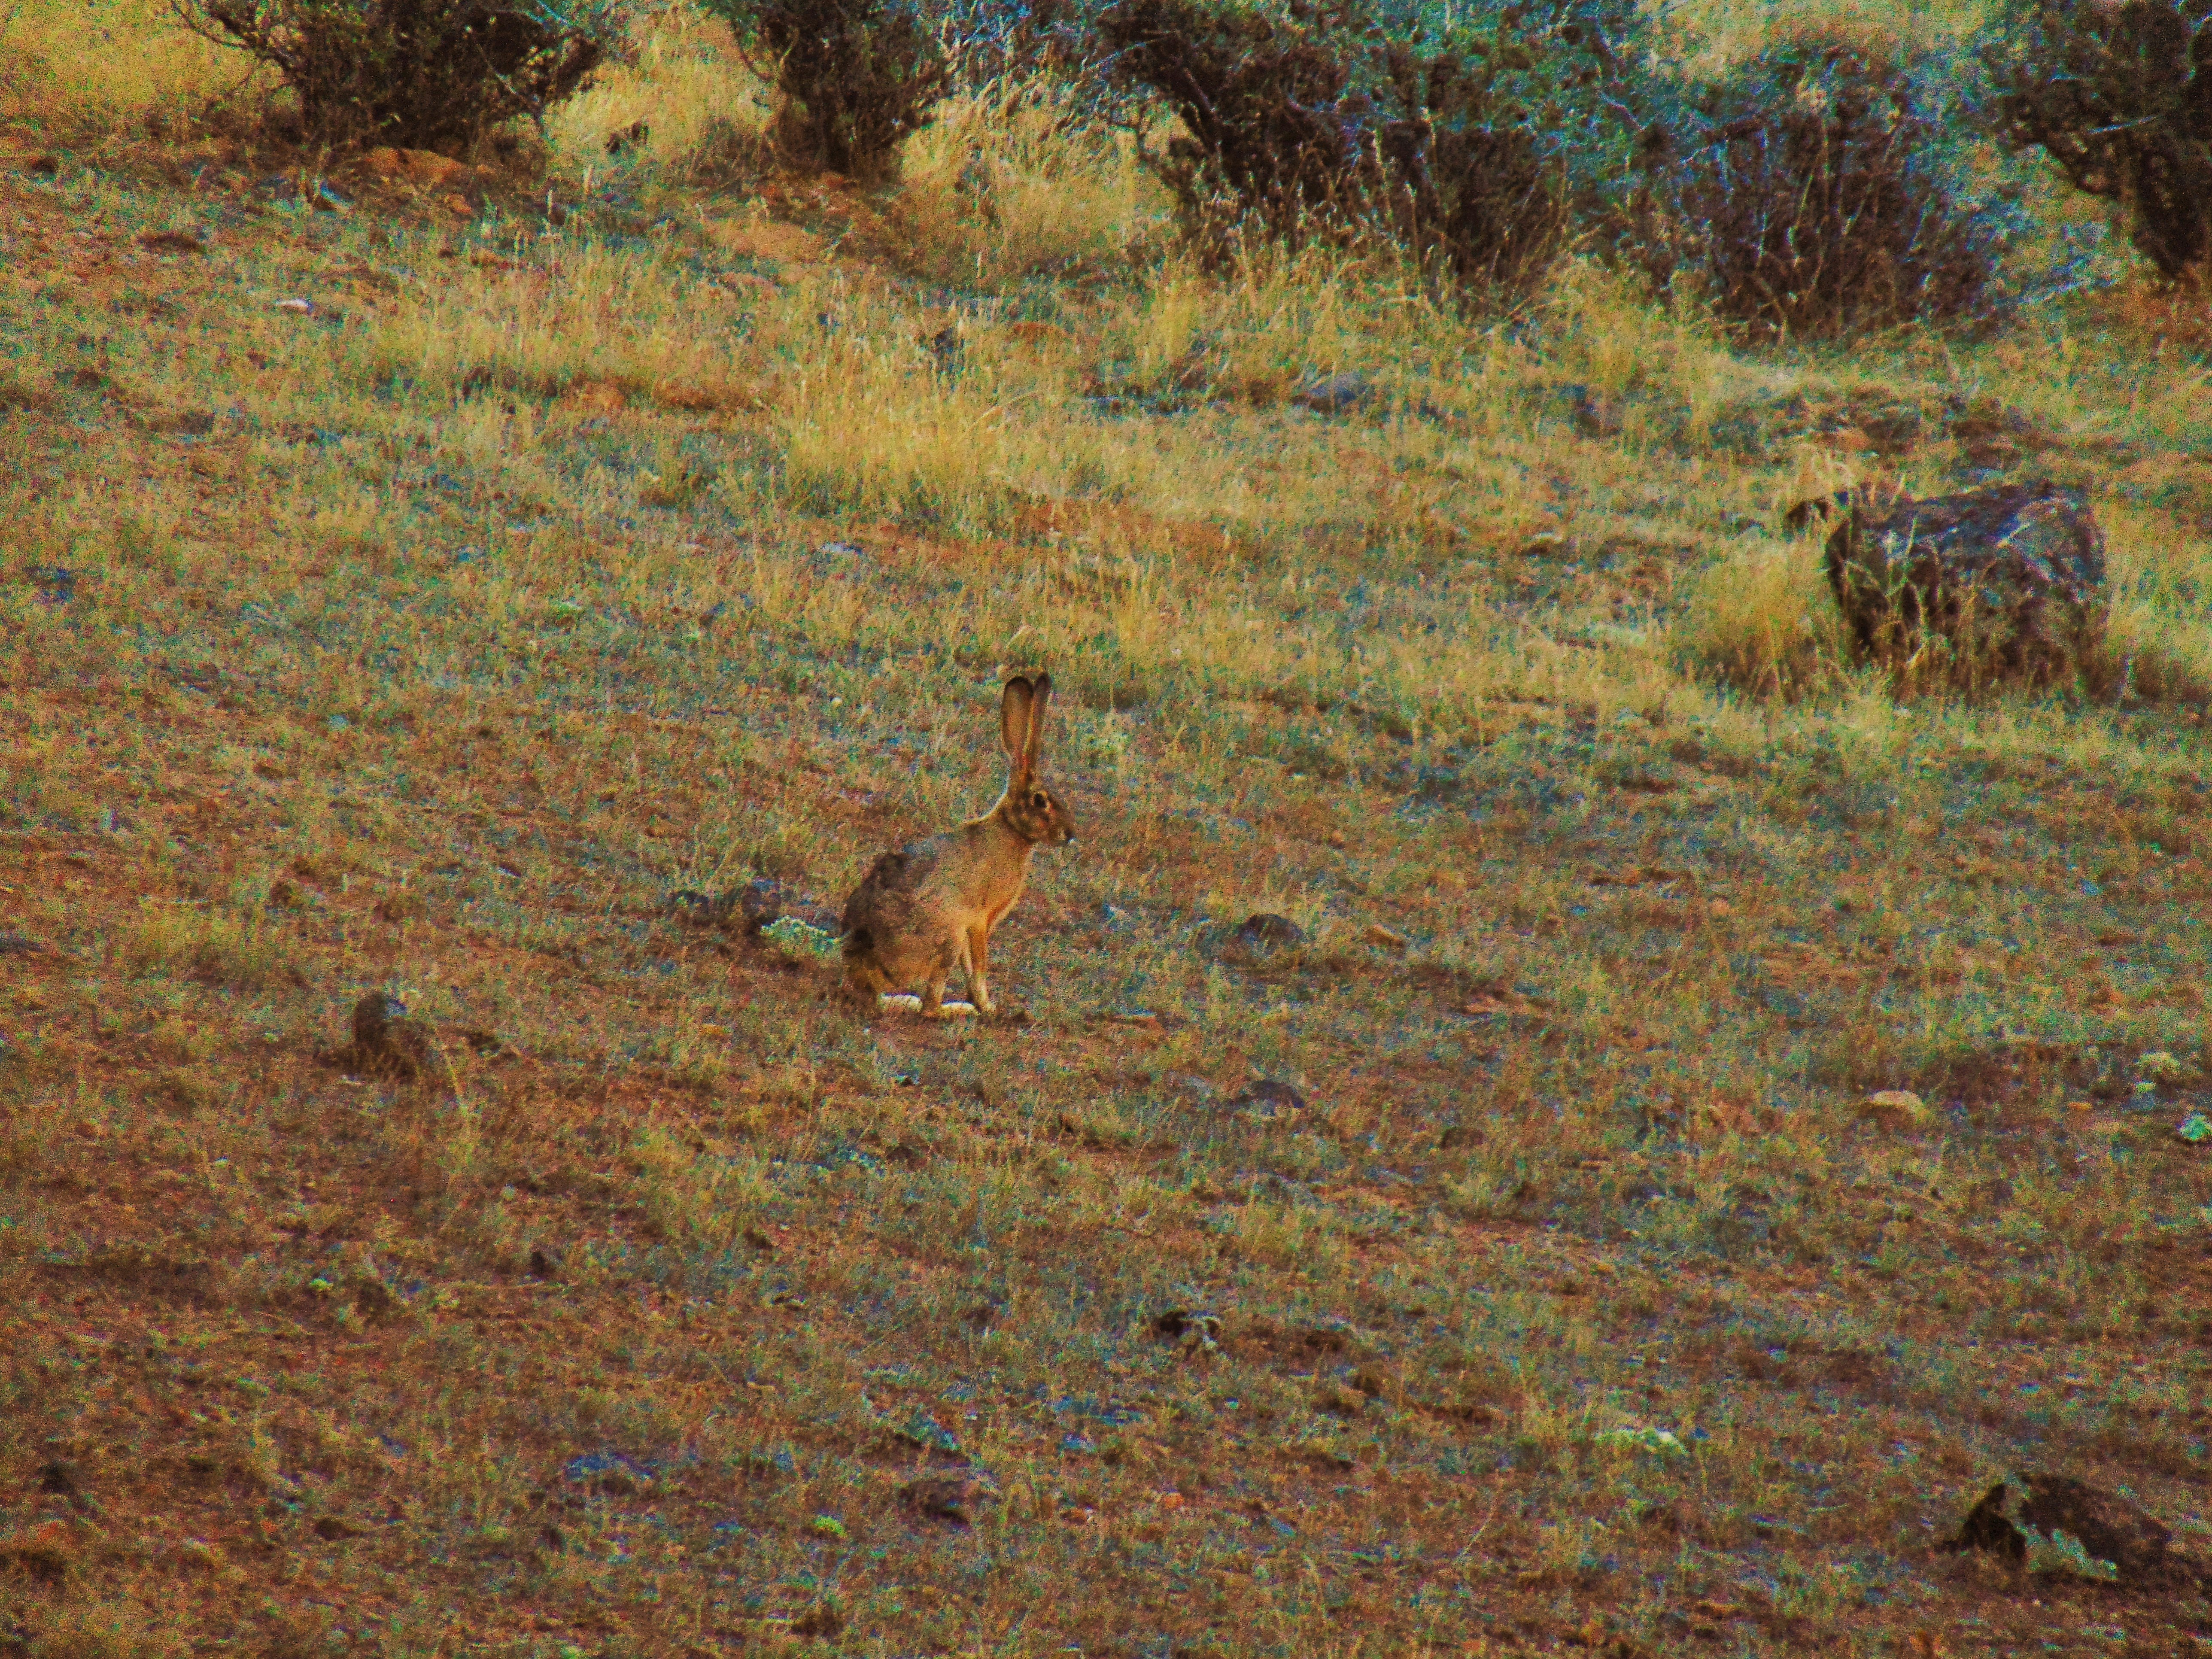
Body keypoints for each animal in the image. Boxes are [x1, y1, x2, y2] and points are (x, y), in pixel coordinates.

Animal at [841, 674, 1076, 1019]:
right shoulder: (977, 920)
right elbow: (979, 965)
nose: (1070, 834)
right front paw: (987, 1007)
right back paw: (955, 1010)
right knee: (929, 1007)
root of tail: (864, 966)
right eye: (1040, 801)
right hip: (945, 938)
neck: (1011, 831)